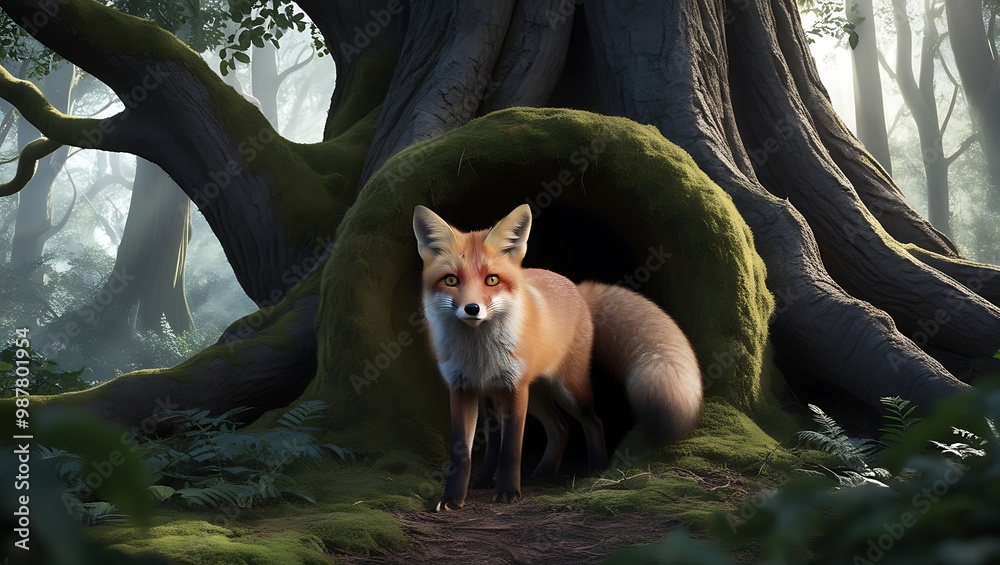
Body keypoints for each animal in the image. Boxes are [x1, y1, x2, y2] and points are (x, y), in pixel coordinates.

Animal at [413, 203, 703, 512]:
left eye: (492, 280)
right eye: (451, 280)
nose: (472, 308)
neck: (479, 355)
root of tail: (575, 287)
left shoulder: (515, 389)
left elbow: (511, 449)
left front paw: (507, 492)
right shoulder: (462, 389)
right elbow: (463, 454)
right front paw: (452, 498)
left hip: (567, 391)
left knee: (591, 422)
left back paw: (596, 468)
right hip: (529, 397)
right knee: (559, 428)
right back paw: (534, 472)